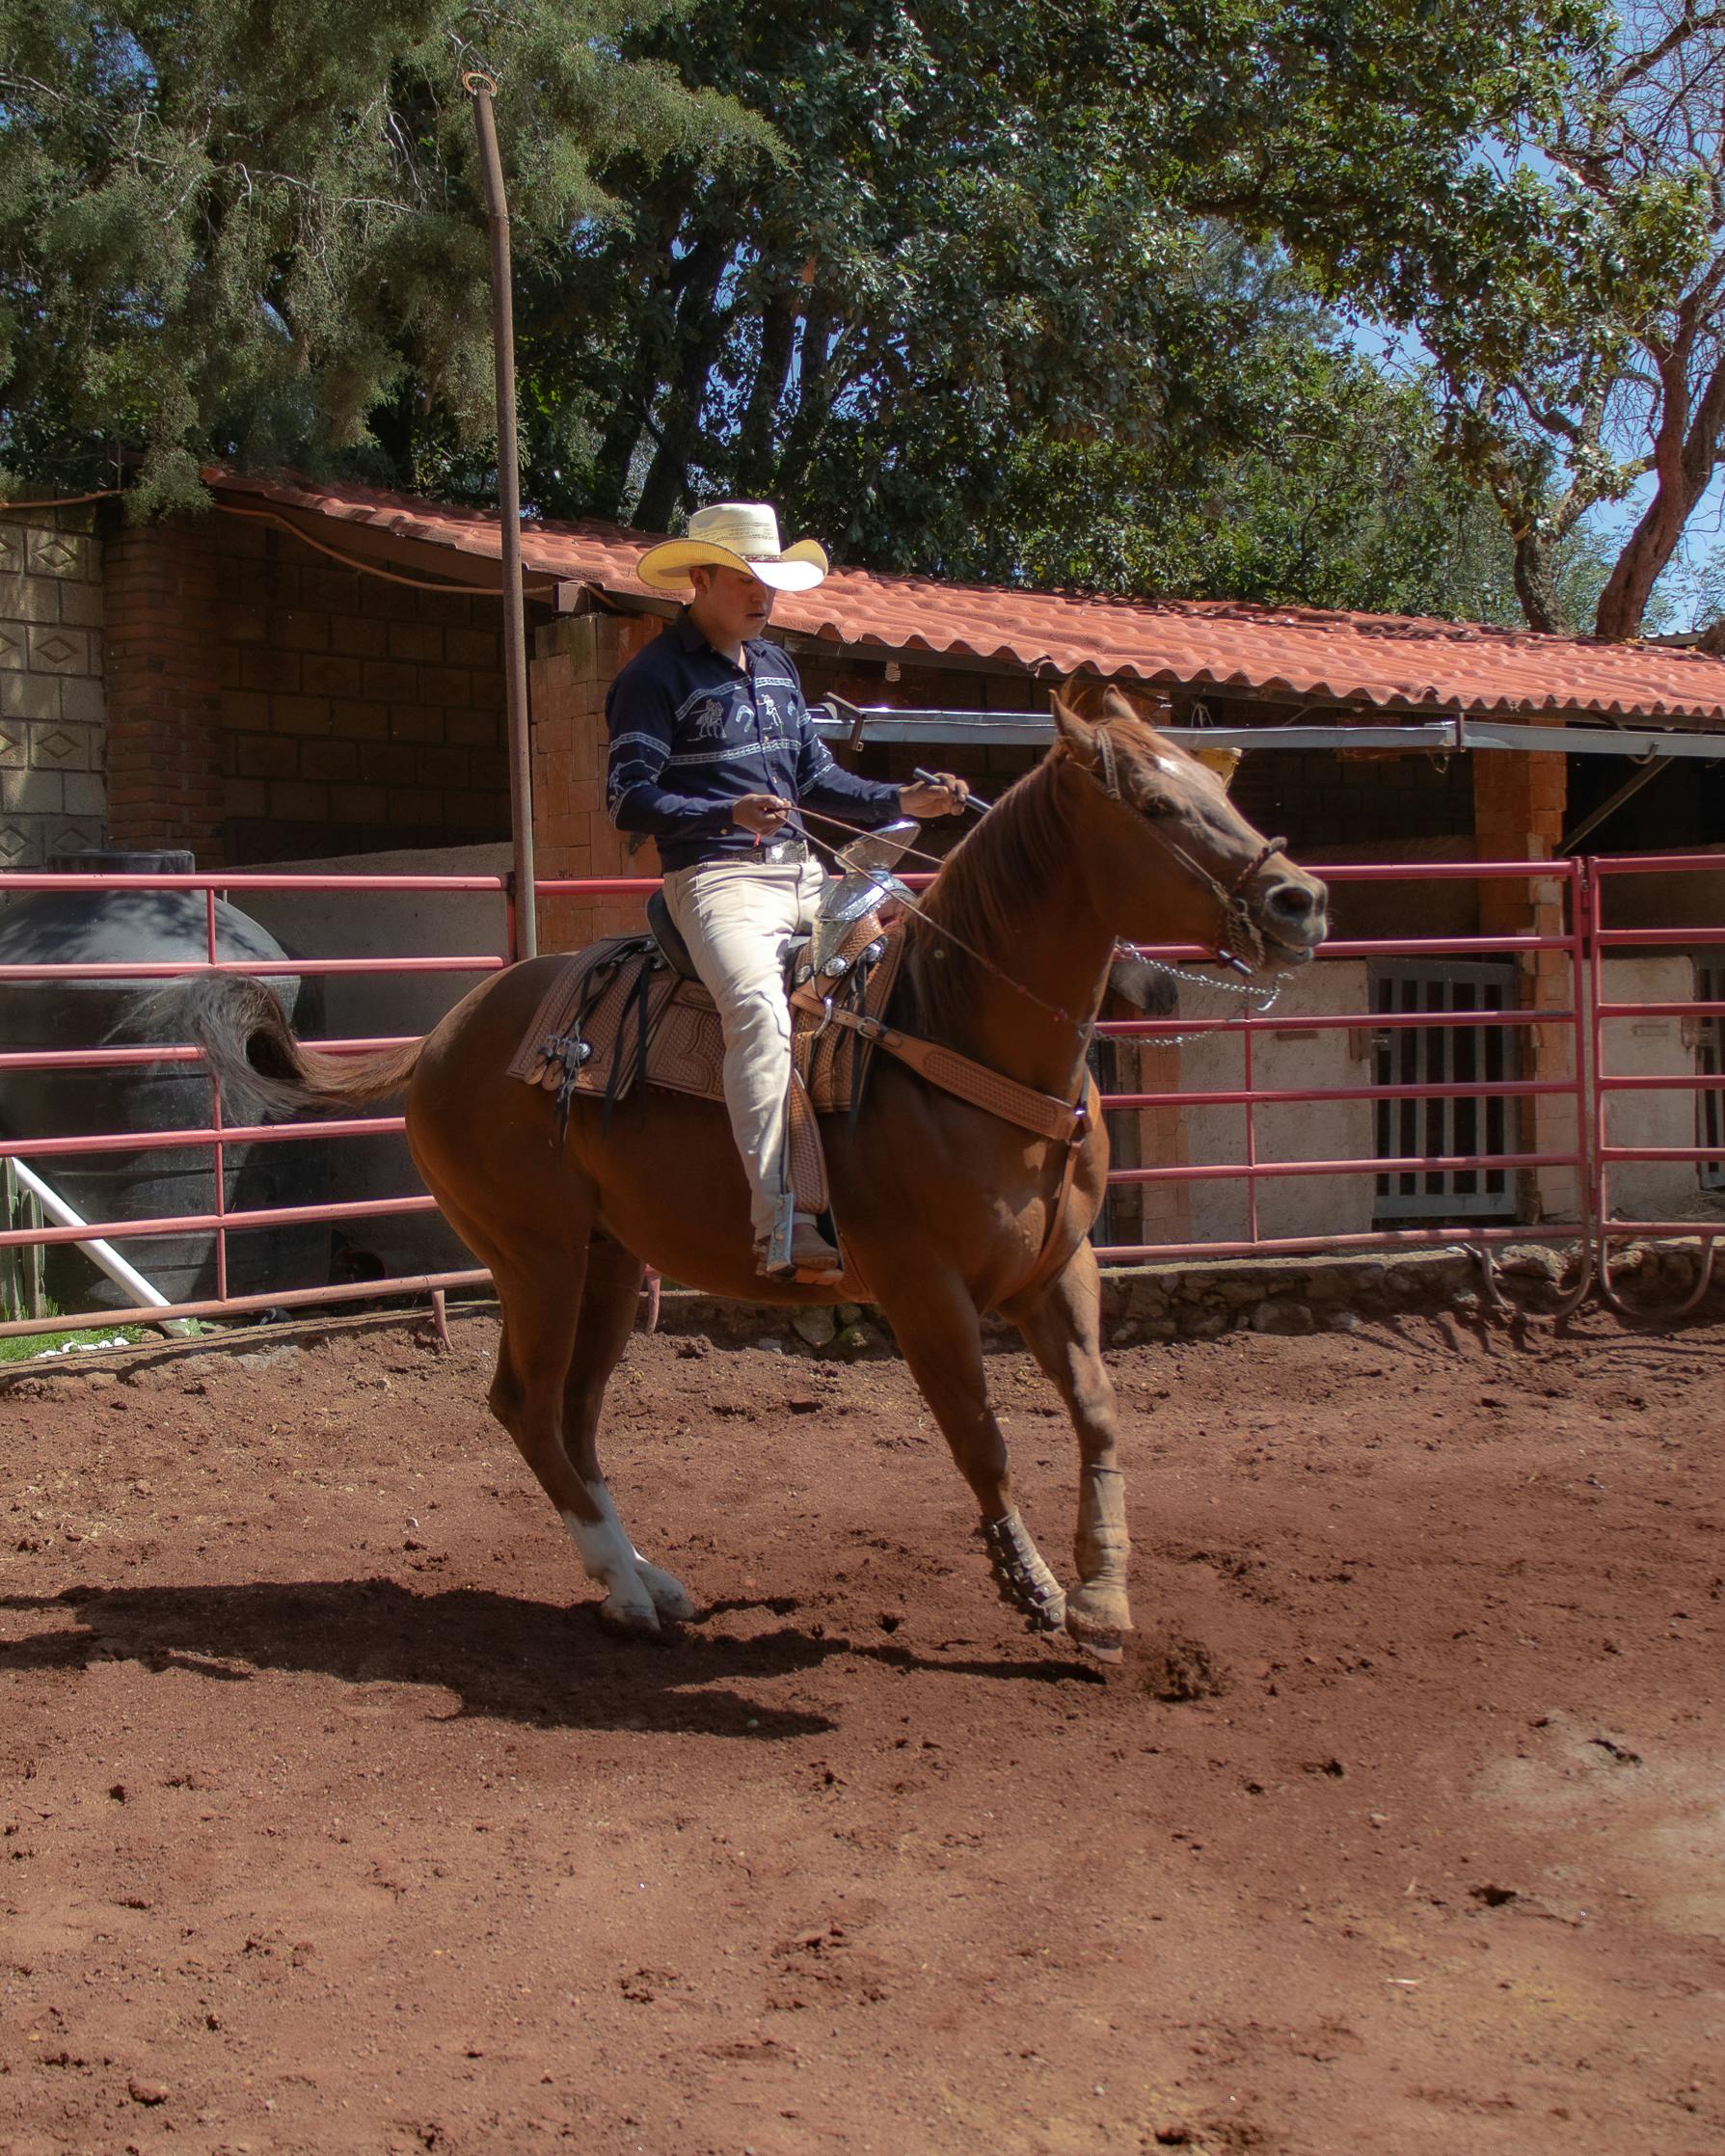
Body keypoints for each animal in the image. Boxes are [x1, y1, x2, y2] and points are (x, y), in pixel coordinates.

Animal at [176, 691, 1328, 1658]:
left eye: (1222, 791)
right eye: (1155, 804)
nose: (1300, 899)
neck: (957, 1034)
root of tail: (444, 1036)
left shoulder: (1059, 1269)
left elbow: (1096, 1412)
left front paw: (1101, 1594)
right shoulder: (925, 1291)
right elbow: (981, 1439)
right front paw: (1034, 1587)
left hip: (606, 1262)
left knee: (575, 1417)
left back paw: (647, 1578)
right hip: (534, 1257)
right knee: (526, 1407)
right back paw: (627, 1592)